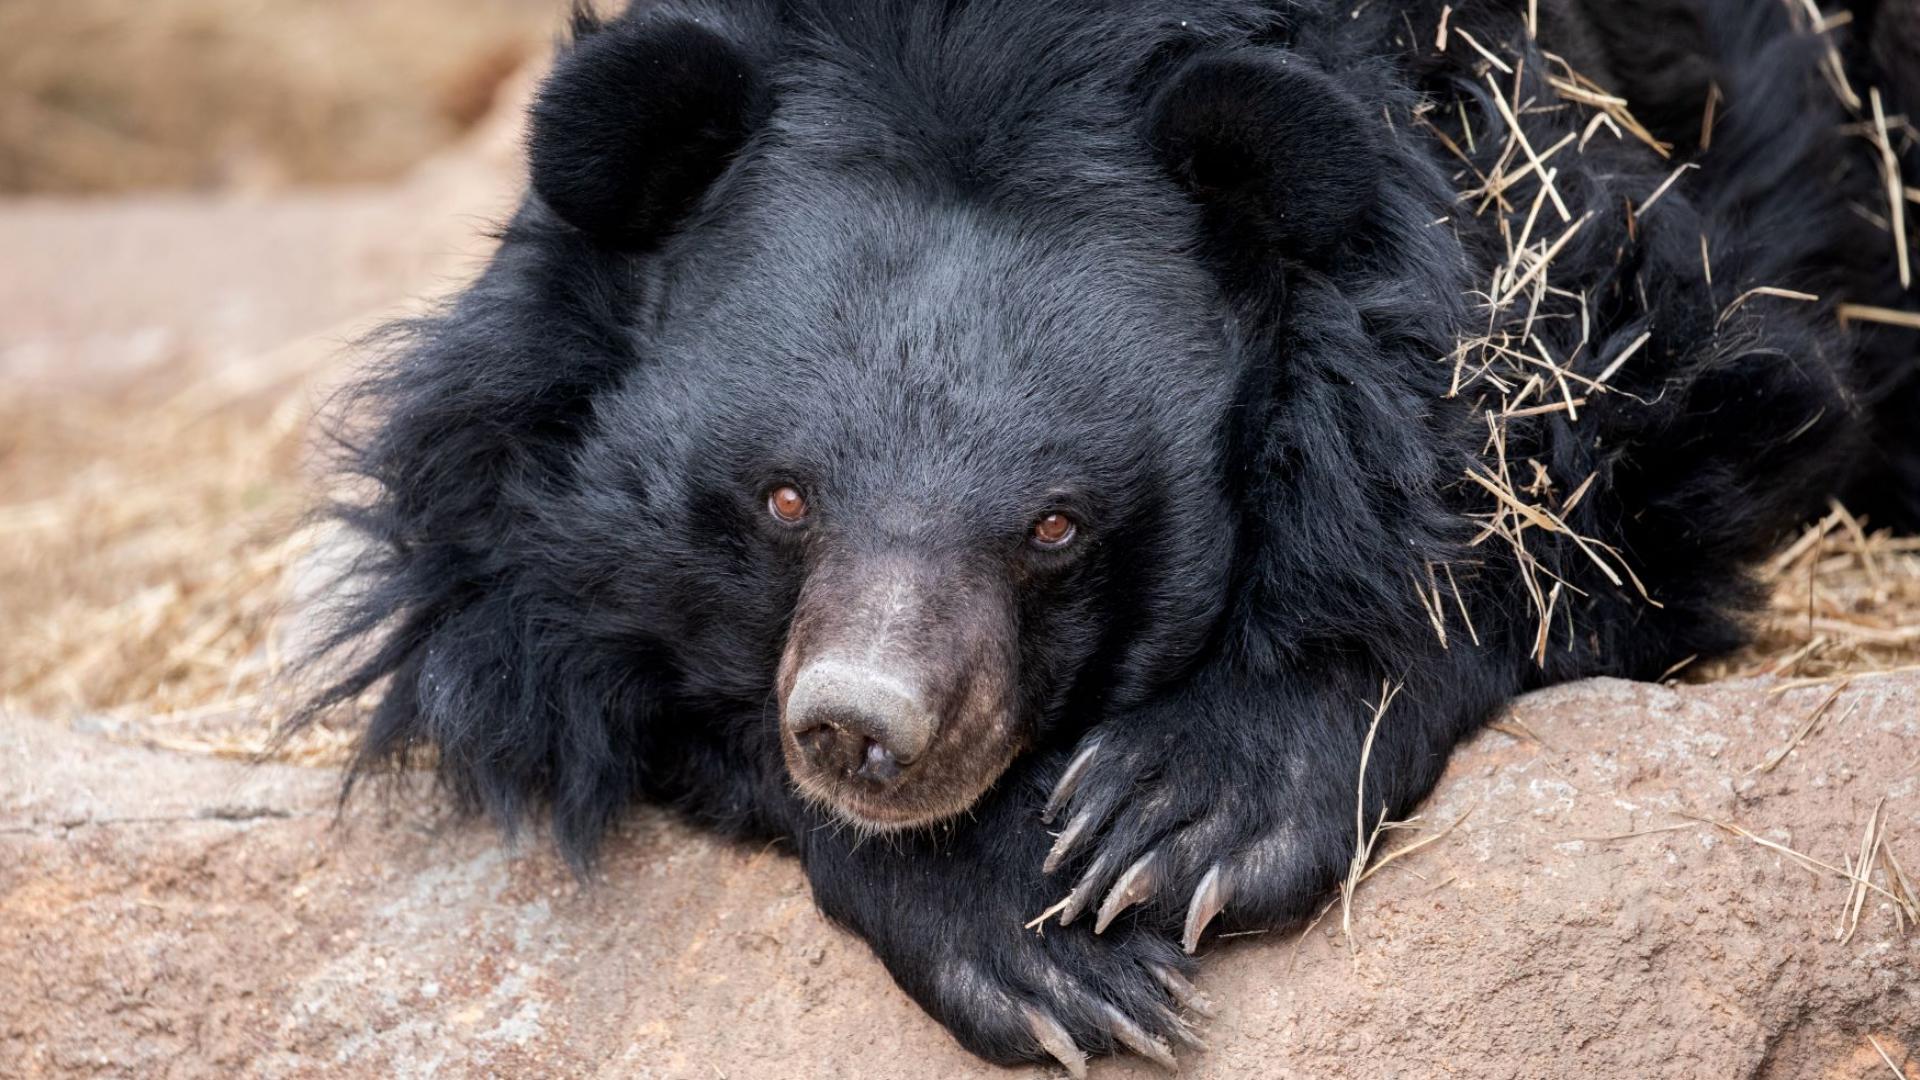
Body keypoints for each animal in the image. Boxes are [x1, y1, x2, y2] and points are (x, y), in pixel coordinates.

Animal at [295, 0, 1919, 1072]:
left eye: (1056, 524)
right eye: (784, 497)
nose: (863, 730)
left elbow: (1572, 509)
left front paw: (1182, 814)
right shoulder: (519, 446)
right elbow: (538, 647)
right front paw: (1029, 932)